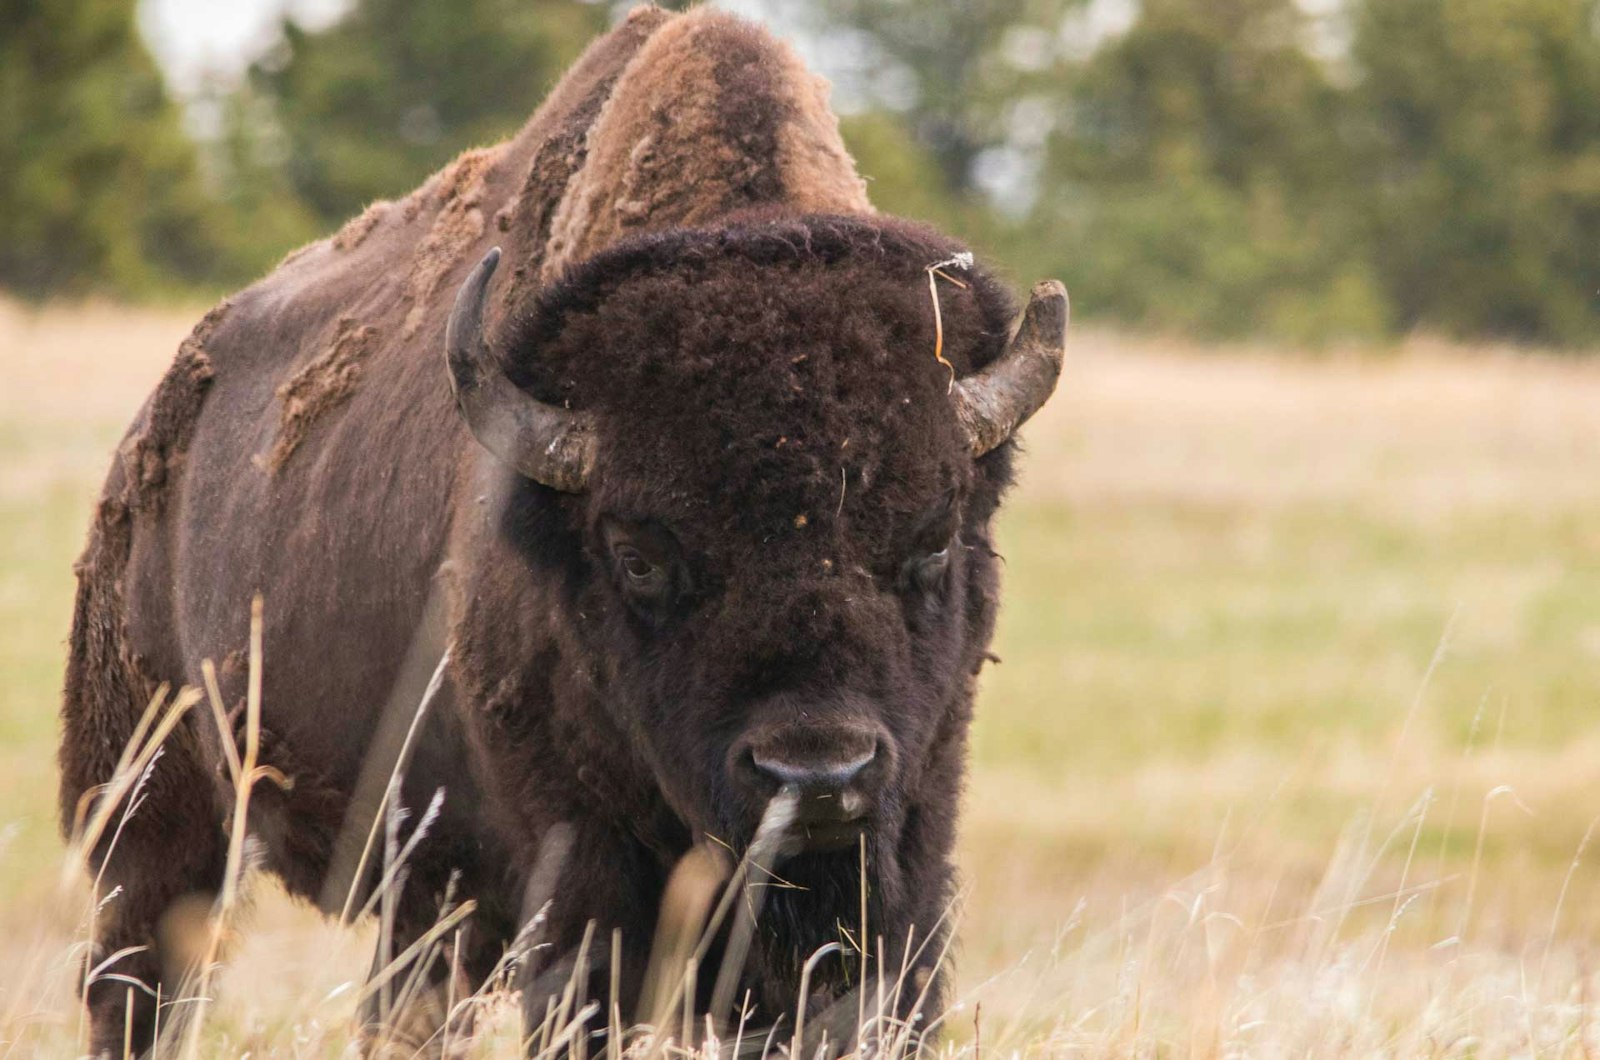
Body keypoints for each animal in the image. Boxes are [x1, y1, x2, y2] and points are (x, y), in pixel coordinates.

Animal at [59, 6, 1067, 1056]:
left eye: (935, 540)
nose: (815, 770)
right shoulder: (581, 885)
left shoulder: (906, 863)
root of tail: (154, 436)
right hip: (150, 822)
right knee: (141, 981)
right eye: (638, 557)